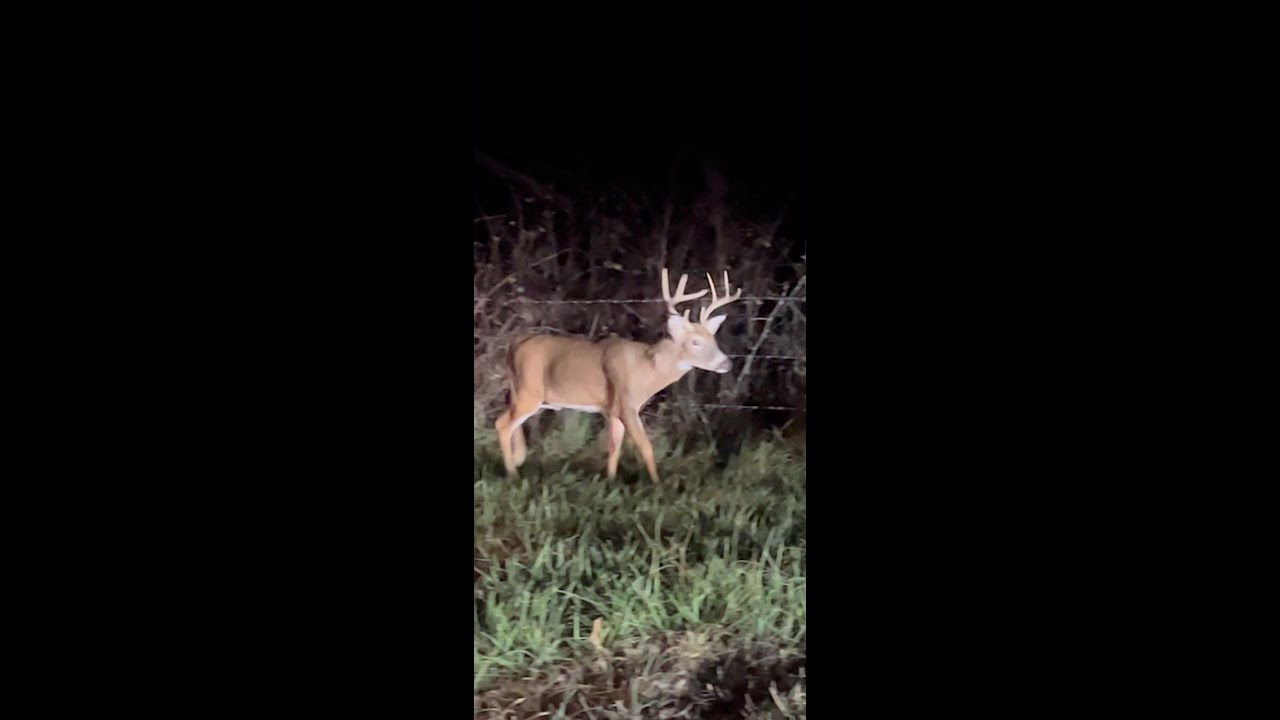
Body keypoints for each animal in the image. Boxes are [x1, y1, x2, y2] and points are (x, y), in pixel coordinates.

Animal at [495, 268, 743, 482]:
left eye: (713, 339)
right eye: (696, 342)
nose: (727, 362)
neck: (647, 370)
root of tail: (515, 344)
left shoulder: (613, 410)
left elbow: (614, 447)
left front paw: (611, 481)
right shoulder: (627, 404)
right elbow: (646, 446)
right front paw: (657, 484)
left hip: (523, 392)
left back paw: (516, 462)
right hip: (530, 392)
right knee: (502, 425)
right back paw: (512, 474)